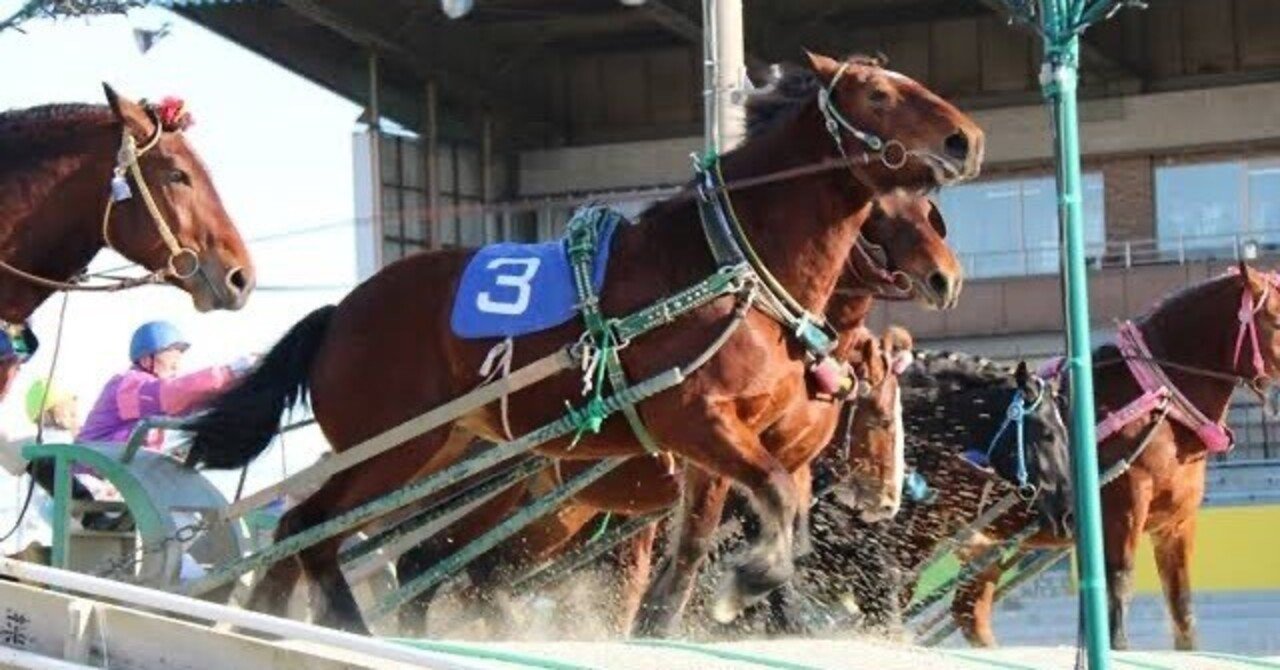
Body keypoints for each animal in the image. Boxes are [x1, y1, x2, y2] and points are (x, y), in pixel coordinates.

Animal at [184, 51, 984, 634]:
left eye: (929, 213)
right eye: (876, 95)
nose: (965, 139)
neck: (730, 266)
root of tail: (342, 311)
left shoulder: (723, 450)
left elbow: (701, 549)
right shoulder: (695, 419)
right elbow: (779, 508)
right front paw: (750, 582)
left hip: (434, 456)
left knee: (315, 536)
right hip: (395, 449)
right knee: (319, 531)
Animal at [949, 263, 1280, 651]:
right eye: (1275, 319)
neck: (1158, 403)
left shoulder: (1175, 521)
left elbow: (1182, 605)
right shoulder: (1123, 504)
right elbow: (1118, 585)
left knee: (970, 610)